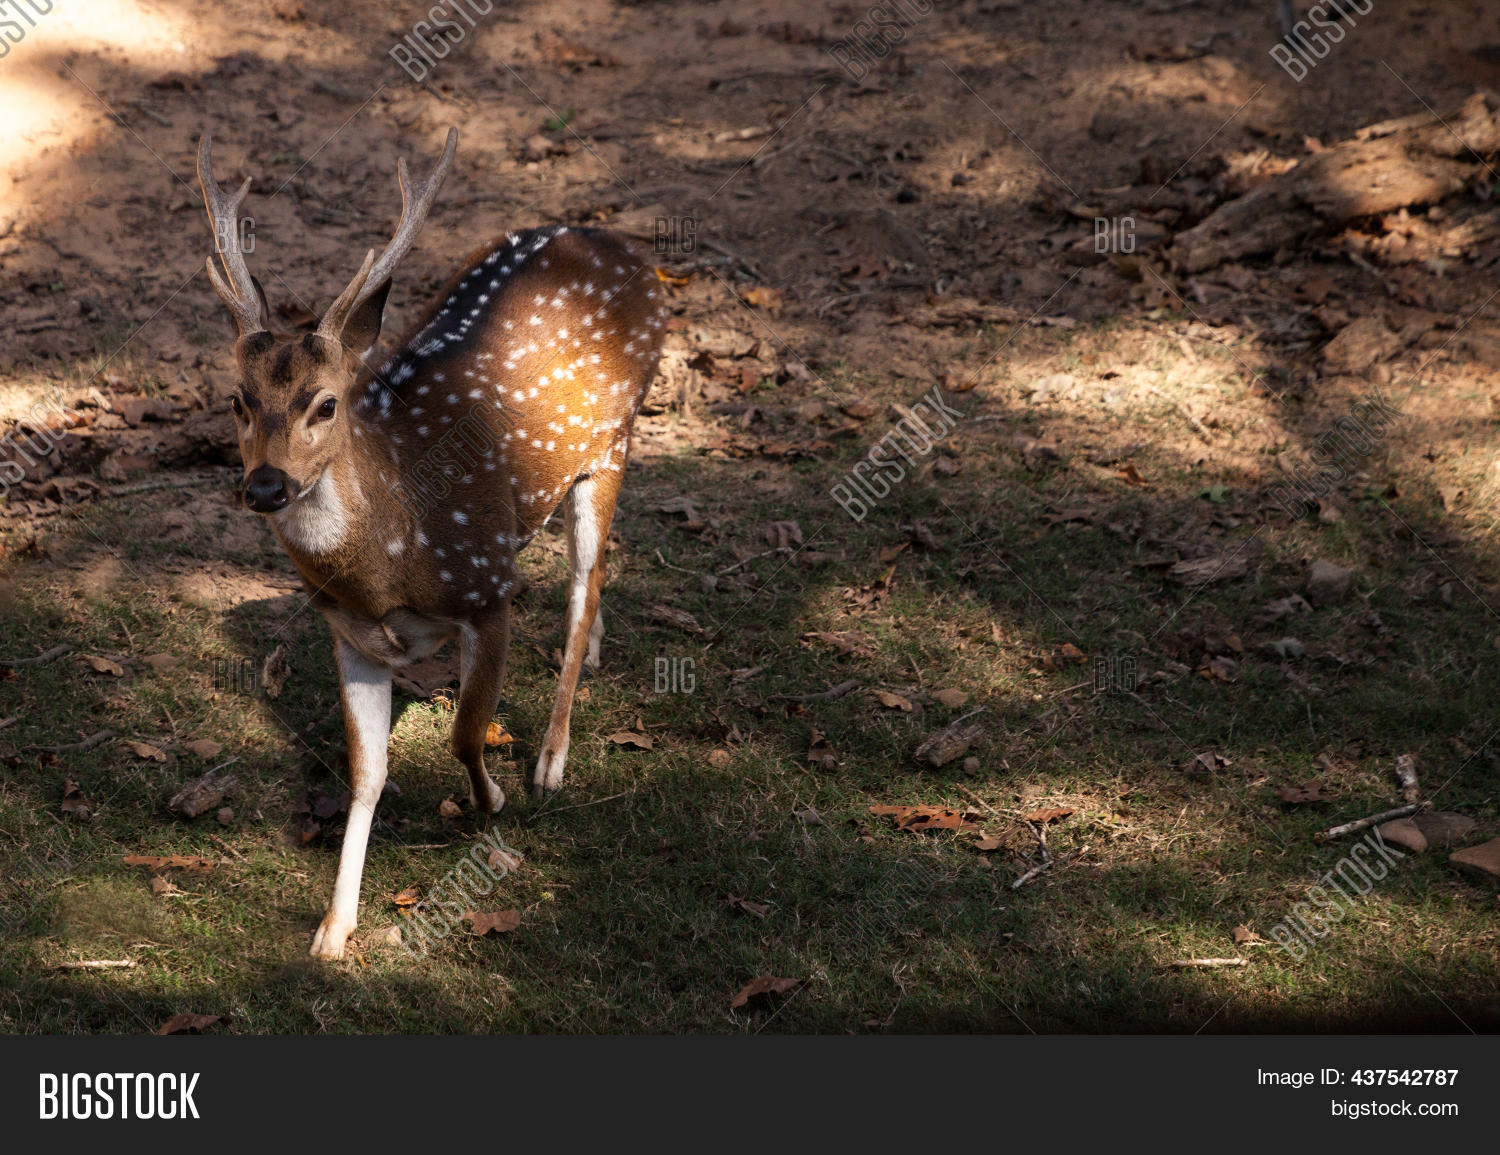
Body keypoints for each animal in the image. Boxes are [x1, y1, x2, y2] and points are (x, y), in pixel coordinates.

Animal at [196, 126, 667, 959]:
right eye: (239, 400)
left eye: (326, 403)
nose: (266, 486)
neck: (392, 564)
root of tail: (627, 249)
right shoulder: (350, 634)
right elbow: (365, 773)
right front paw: (333, 928)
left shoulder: (486, 589)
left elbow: (464, 733)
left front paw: (496, 798)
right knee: (598, 576)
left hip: (613, 436)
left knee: (582, 581)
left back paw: (552, 757)